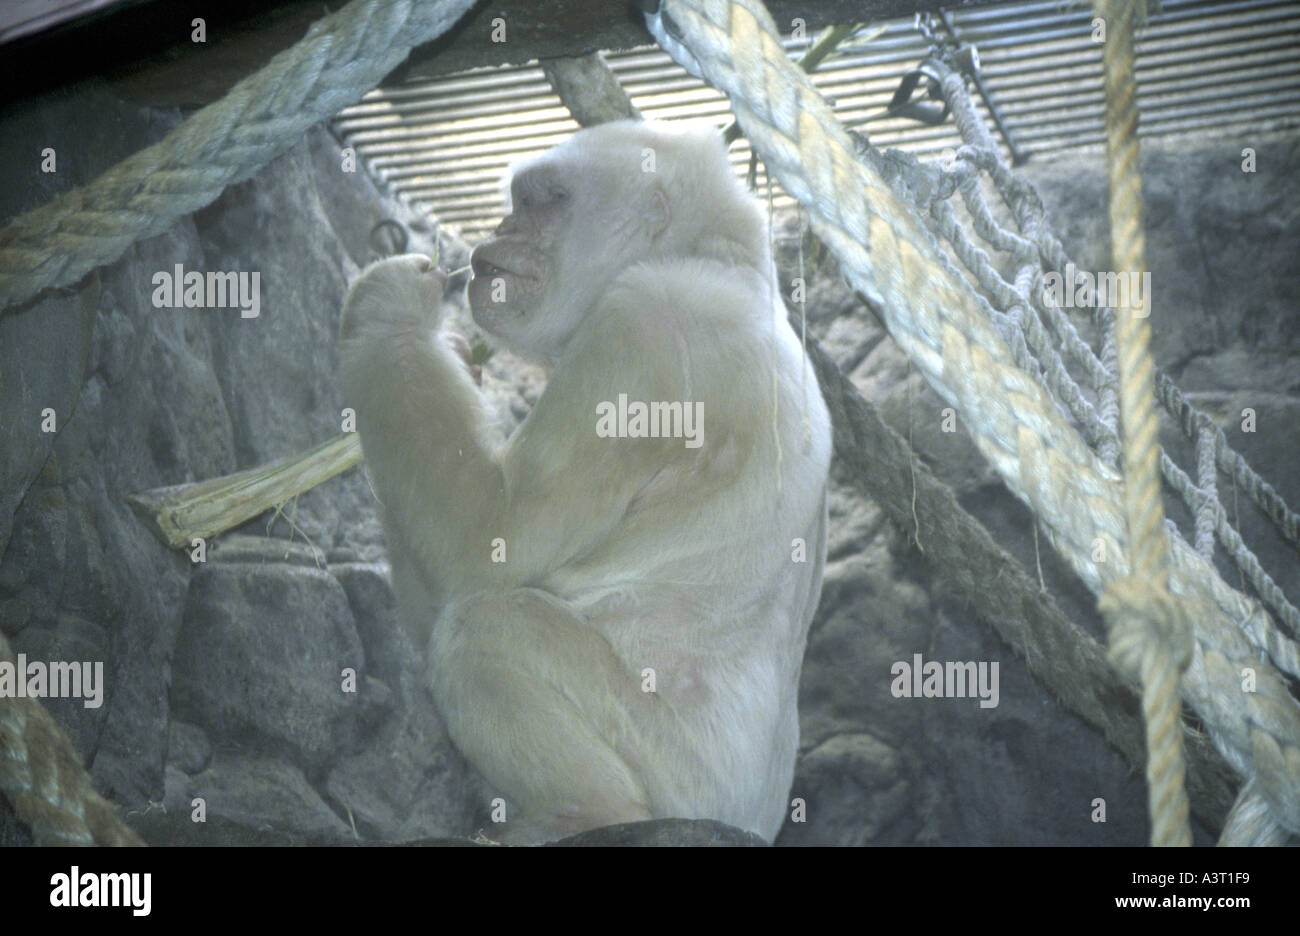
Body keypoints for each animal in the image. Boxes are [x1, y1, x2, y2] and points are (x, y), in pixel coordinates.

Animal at [338, 120, 832, 842]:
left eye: (544, 201)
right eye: (515, 203)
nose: (501, 229)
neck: (724, 258)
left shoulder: (649, 324)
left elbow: (489, 542)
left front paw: (388, 312)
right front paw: (449, 356)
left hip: (669, 769)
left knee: (486, 626)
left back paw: (589, 810)